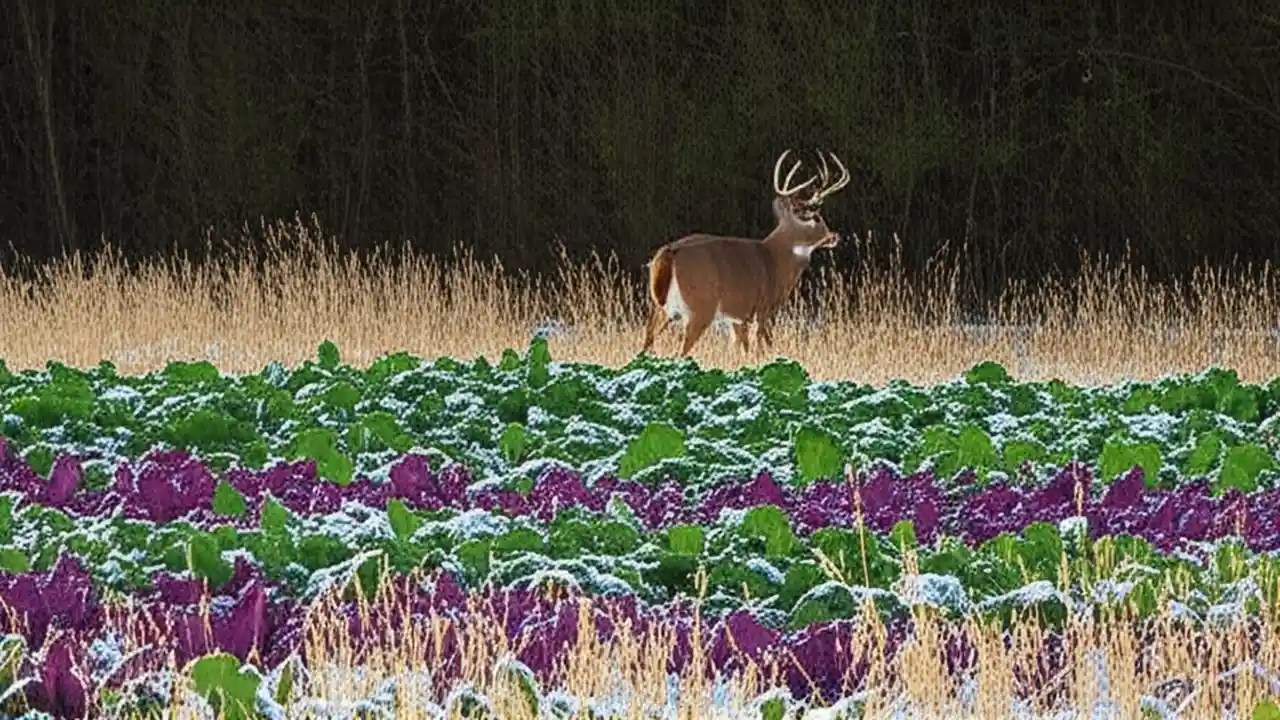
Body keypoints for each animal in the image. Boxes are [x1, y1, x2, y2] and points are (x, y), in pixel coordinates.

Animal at [640, 149, 851, 357]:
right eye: (816, 217)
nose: (834, 236)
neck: (775, 260)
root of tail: (670, 251)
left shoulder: (737, 317)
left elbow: (740, 350)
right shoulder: (762, 310)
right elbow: (761, 348)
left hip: (659, 308)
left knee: (647, 342)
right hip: (699, 308)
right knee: (680, 352)